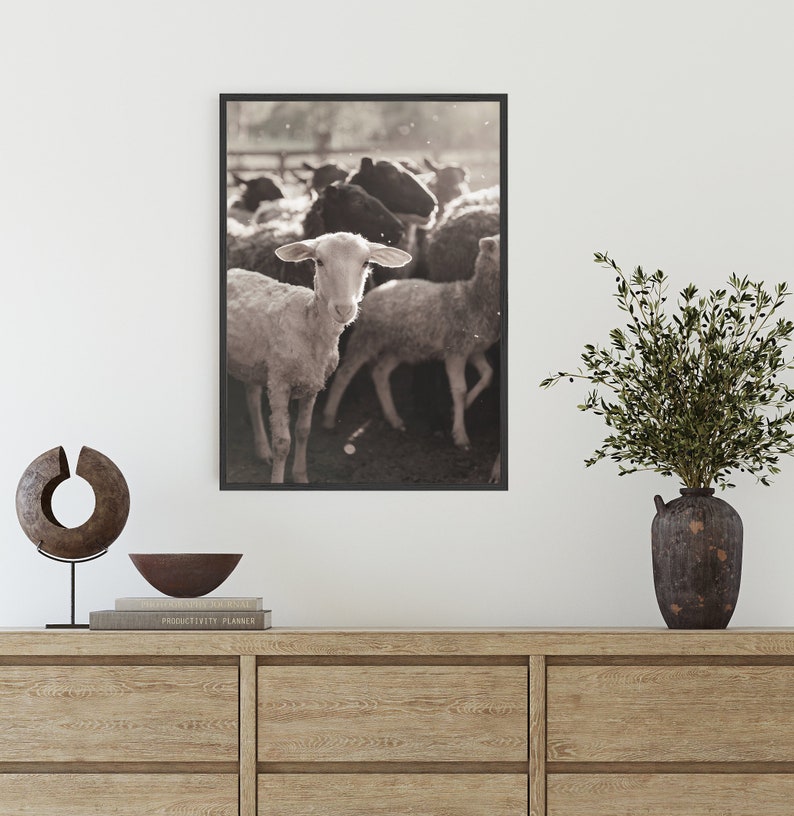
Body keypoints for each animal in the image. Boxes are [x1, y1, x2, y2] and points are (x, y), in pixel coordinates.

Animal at [227, 232, 412, 484]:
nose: (343, 309)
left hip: (252, 363)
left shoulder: (312, 384)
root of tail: (232, 271)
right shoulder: (279, 382)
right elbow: (282, 443)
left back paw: (262, 450)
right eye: (319, 261)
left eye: (365, 263)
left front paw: (300, 476)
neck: (309, 323)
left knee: (253, 399)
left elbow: (303, 432)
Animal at [322, 235, 501, 450]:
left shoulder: (475, 350)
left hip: (399, 347)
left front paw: (464, 406)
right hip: (367, 338)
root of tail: (374, 291)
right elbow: (460, 390)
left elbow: (488, 375)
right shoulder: (455, 351)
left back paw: (394, 418)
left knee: (380, 372)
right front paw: (460, 434)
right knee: (344, 374)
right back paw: (329, 417)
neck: (475, 300)